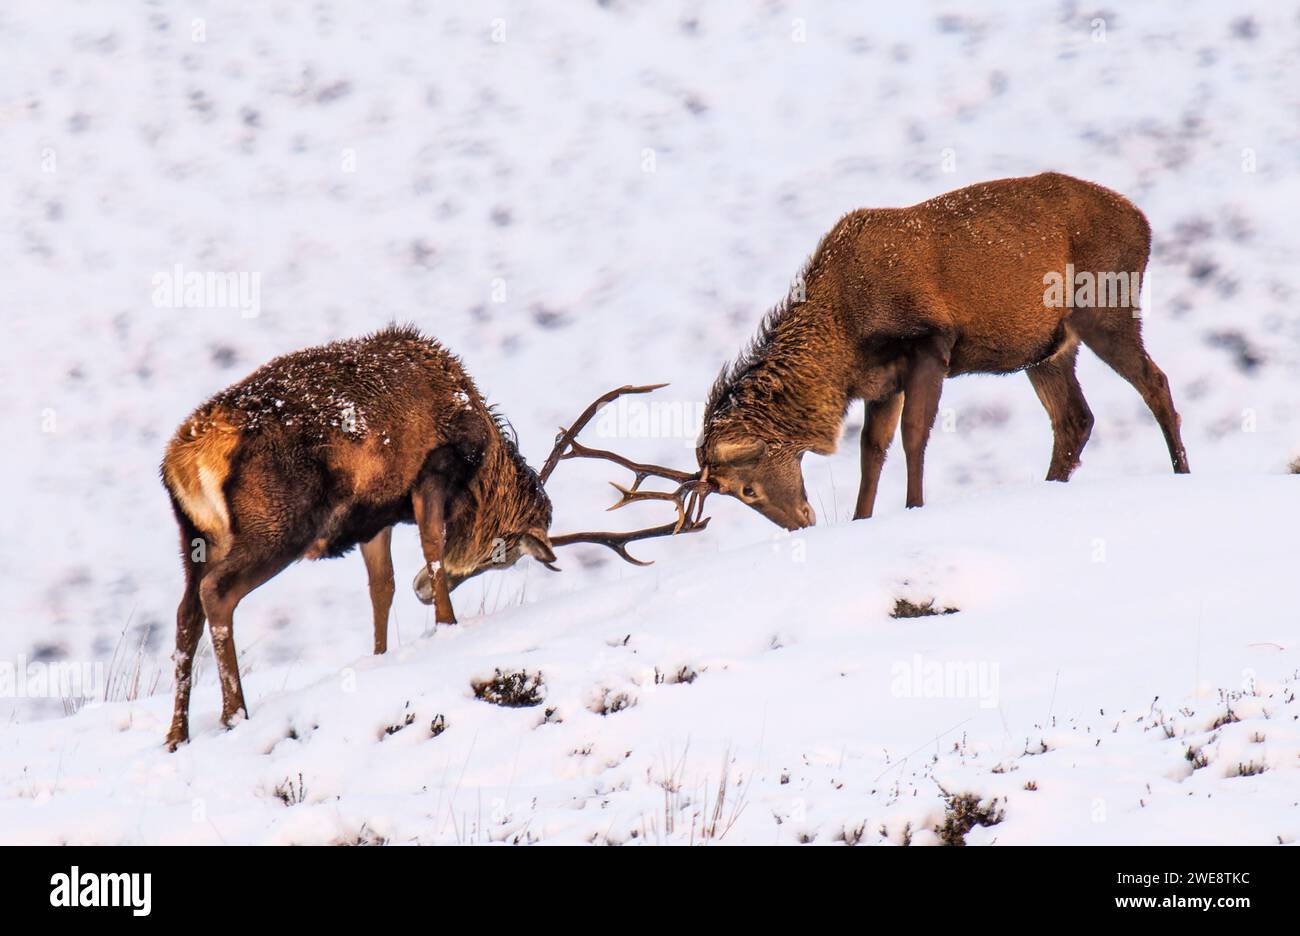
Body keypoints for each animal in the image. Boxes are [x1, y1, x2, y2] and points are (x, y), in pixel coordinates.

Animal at [161, 324, 708, 750]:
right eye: (503, 554)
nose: (424, 593)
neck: (482, 464)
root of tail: (183, 458)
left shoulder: (375, 516)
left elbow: (382, 588)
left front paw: (381, 654)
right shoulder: (432, 474)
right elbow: (433, 548)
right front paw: (448, 622)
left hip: (194, 536)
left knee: (185, 612)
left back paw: (176, 735)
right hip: (275, 524)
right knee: (217, 593)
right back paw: (235, 713)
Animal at [694, 172, 1190, 530]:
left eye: (747, 489)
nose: (801, 522)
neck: (843, 336)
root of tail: (1144, 223)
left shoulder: (932, 342)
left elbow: (914, 434)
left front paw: (914, 506)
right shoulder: (881, 381)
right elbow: (872, 450)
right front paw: (860, 518)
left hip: (1106, 309)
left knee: (1155, 382)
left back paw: (1181, 471)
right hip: (1047, 349)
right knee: (1075, 419)